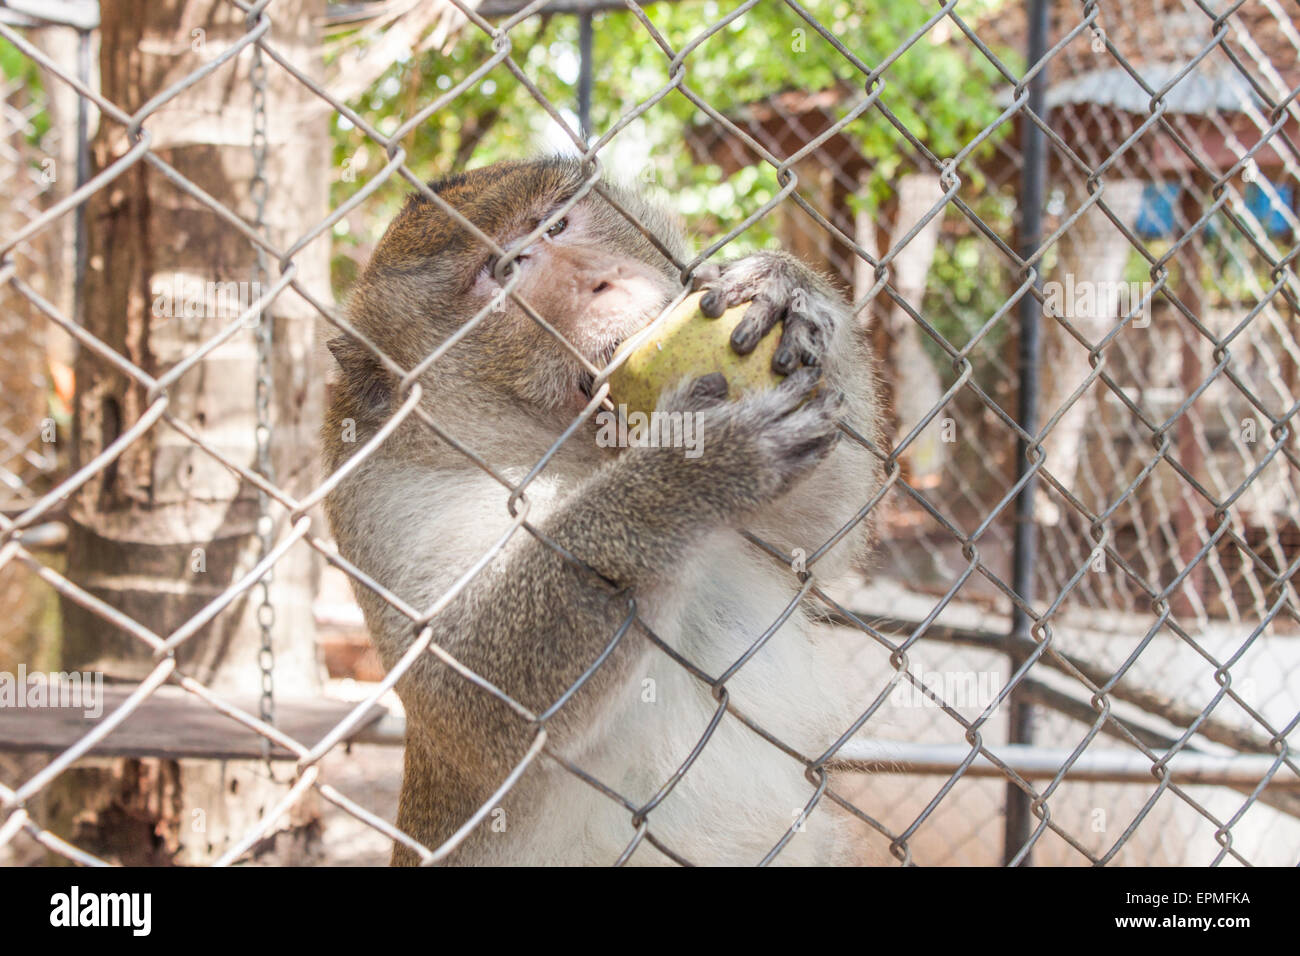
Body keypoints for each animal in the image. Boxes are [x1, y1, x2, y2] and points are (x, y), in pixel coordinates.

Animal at [322, 157, 884, 865]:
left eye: (560, 224)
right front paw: (691, 469)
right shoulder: (374, 489)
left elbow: (821, 533)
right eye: (504, 269)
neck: (578, 451)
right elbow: (472, 700)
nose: (602, 277)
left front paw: (785, 286)